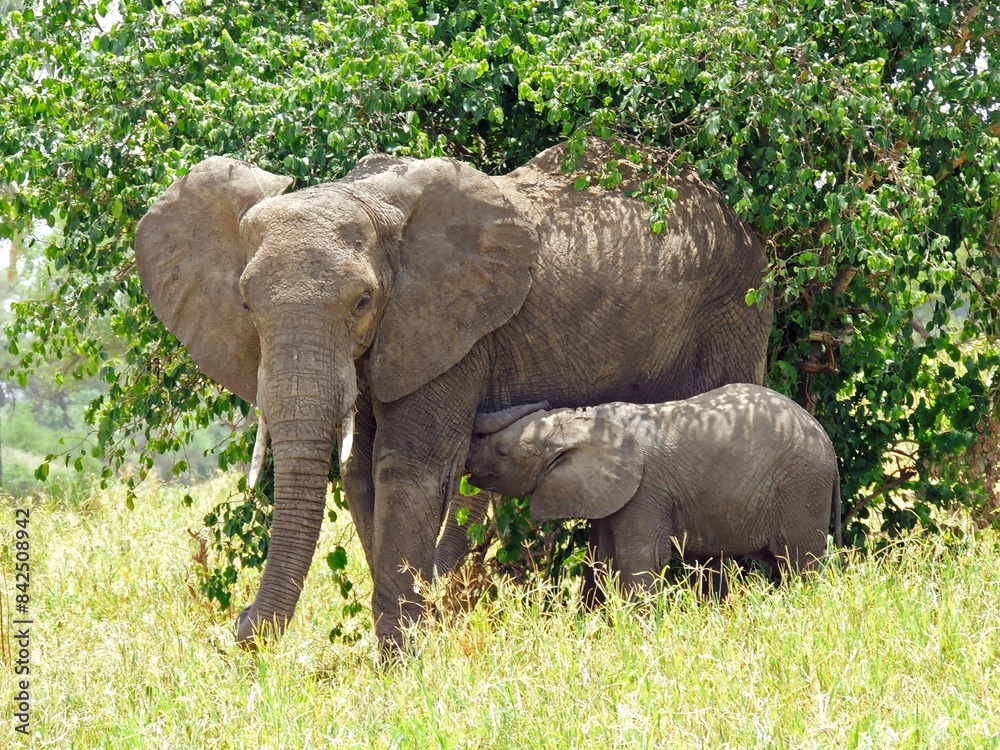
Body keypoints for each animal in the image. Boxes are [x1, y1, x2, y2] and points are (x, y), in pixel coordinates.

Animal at [133, 139, 772, 652]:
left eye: (363, 301)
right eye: (246, 305)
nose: (242, 627)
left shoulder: (454, 330)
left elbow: (404, 467)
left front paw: (399, 662)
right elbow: (361, 473)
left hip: (735, 305)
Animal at [466, 384, 842, 598]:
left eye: (501, 452)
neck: (581, 423)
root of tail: (828, 443)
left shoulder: (644, 490)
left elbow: (640, 559)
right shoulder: (611, 491)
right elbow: (606, 559)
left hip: (803, 486)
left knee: (799, 562)